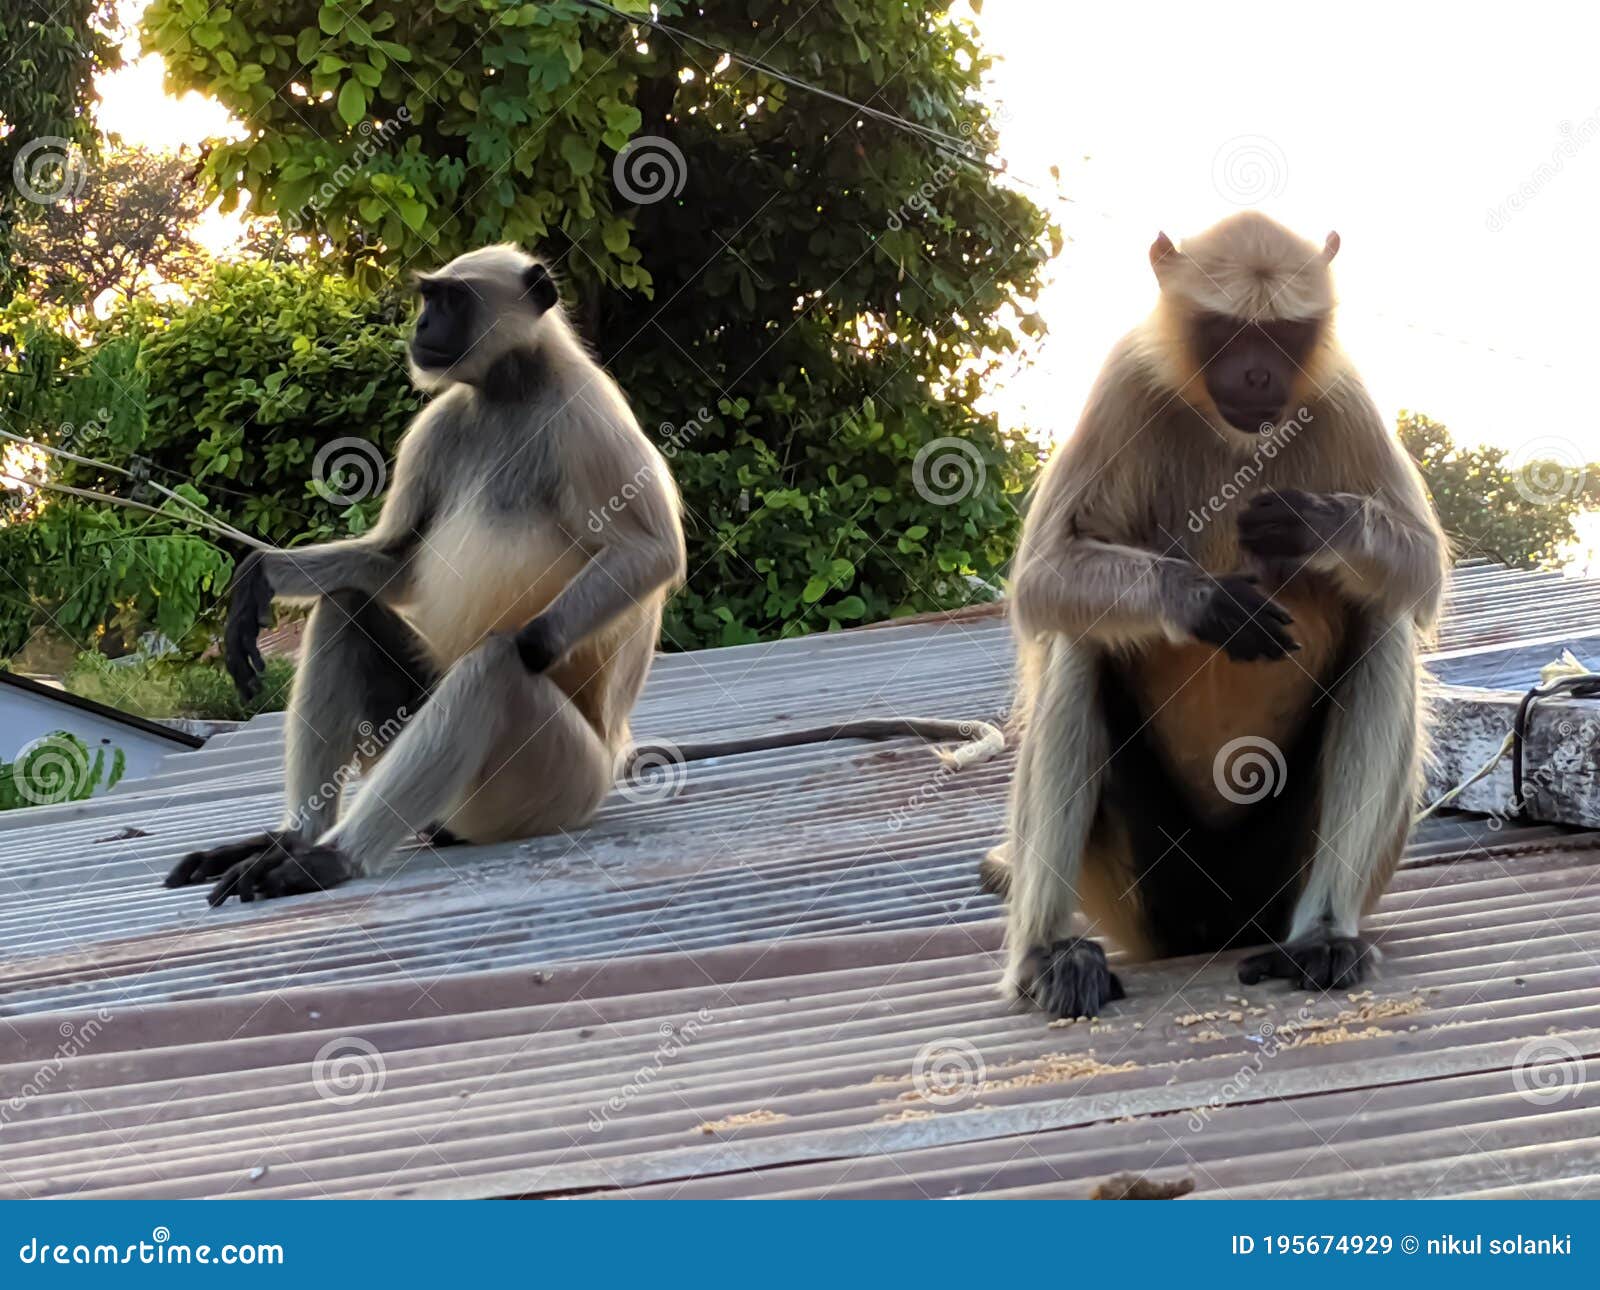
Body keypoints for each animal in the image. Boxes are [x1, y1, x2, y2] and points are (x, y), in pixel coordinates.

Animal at [164, 244, 689, 905]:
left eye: (452, 300)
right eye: (428, 298)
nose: (420, 326)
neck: (507, 390)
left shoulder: (586, 413)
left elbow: (652, 555)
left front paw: (529, 644)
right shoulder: (444, 423)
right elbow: (397, 565)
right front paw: (260, 577)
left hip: (558, 784)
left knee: (493, 670)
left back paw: (329, 858)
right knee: (346, 608)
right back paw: (293, 839)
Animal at [985, 211, 1448, 1019]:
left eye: (1284, 336)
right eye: (1229, 333)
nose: (1259, 376)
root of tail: (1221, 927)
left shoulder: (1341, 390)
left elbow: (1421, 573)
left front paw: (1319, 528)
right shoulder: (1124, 383)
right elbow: (1042, 580)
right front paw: (1204, 602)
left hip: (1282, 881)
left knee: (1383, 620)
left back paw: (1322, 936)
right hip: (1138, 900)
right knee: (1080, 643)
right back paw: (1045, 954)